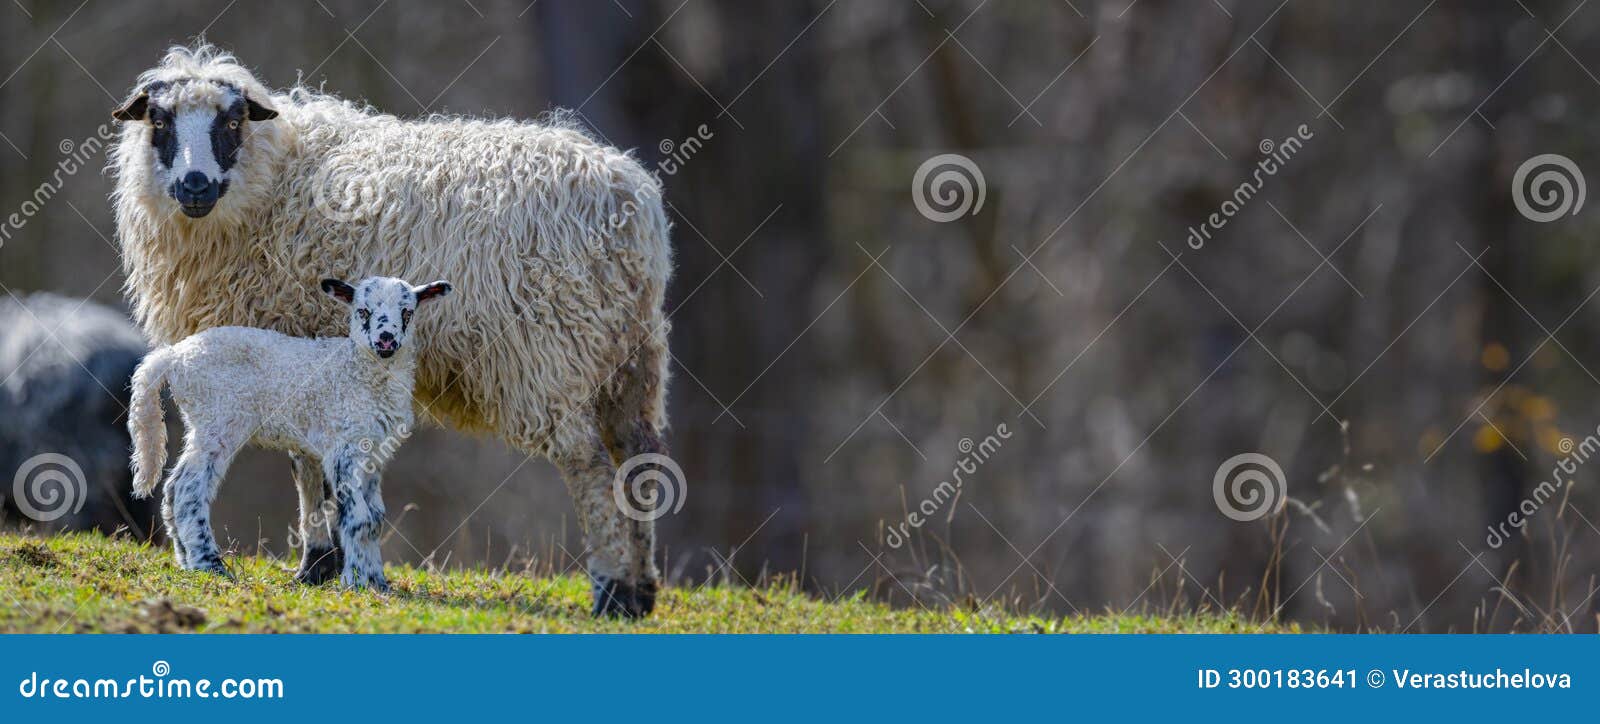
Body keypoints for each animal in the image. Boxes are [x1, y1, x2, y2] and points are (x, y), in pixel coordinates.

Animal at [128, 276, 454, 590]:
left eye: (407, 312)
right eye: (363, 311)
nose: (386, 339)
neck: (359, 371)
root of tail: (175, 356)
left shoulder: (374, 451)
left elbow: (375, 520)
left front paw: (377, 581)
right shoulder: (343, 448)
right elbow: (357, 518)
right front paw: (356, 581)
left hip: (202, 422)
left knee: (173, 487)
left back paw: (186, 560)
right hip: (218, 419)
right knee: (188, 488)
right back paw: (210, 565)